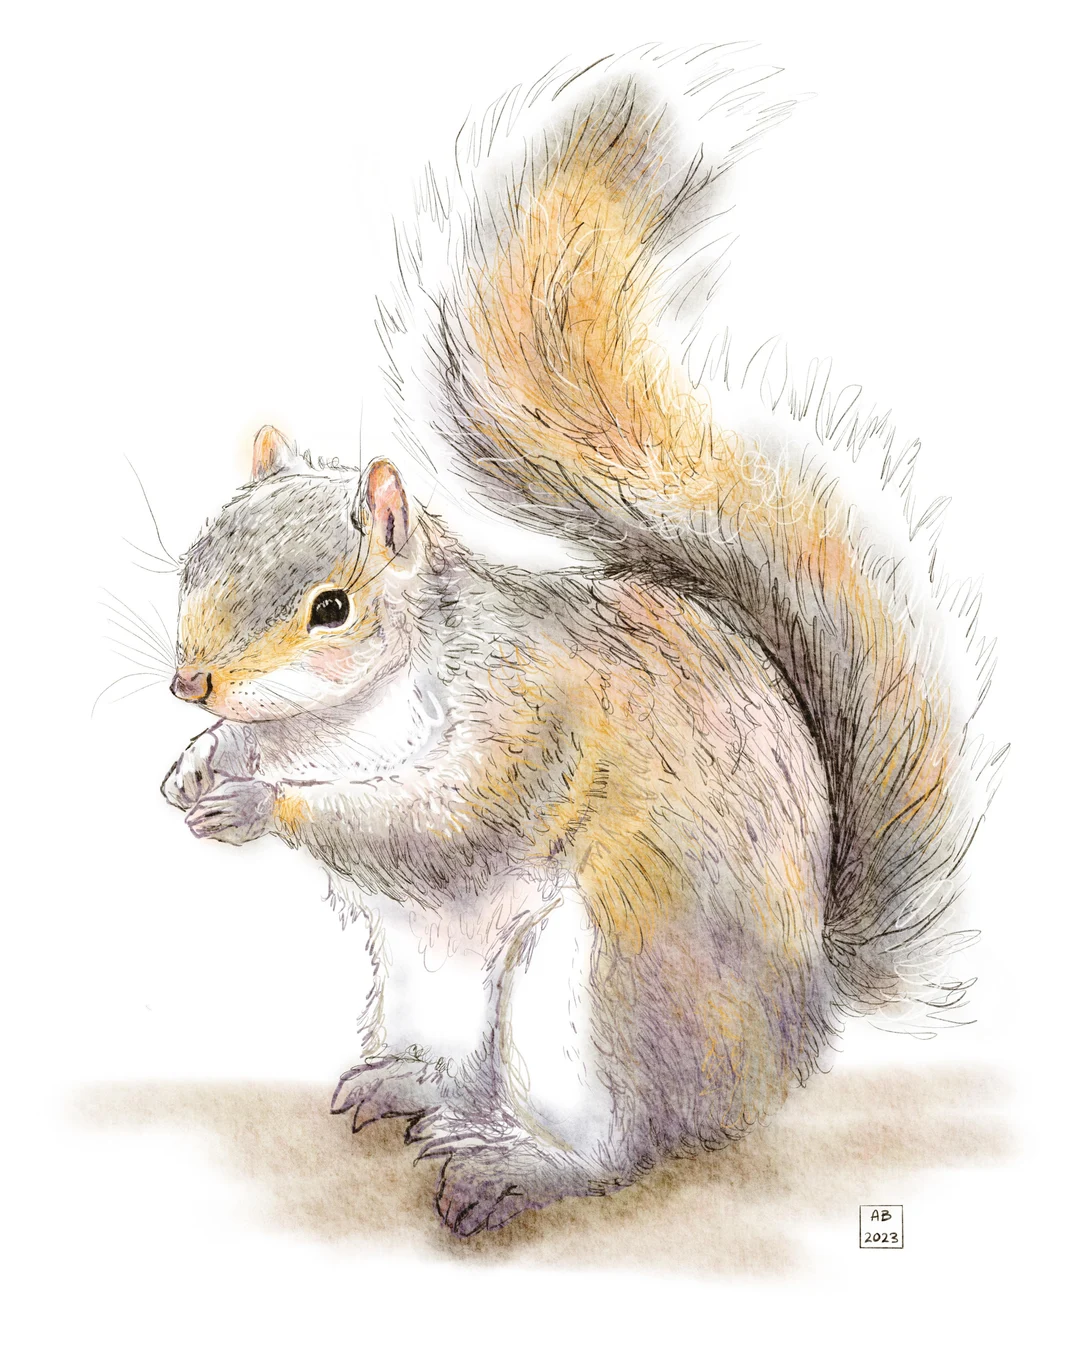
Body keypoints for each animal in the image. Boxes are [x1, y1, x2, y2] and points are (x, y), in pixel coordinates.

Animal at [160, 48, 996, 1236]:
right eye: (196, 553)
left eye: (332, 608)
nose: (191, 682)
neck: (350, 722)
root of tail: (803, 1020)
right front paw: (200, 768)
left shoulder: (529, 726)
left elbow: (440, 833)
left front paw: (255, 806)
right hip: (431, 984)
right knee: (456, 1062)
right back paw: (414, 1086)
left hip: (600, 985)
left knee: (627, 1141)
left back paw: (520, 1166)